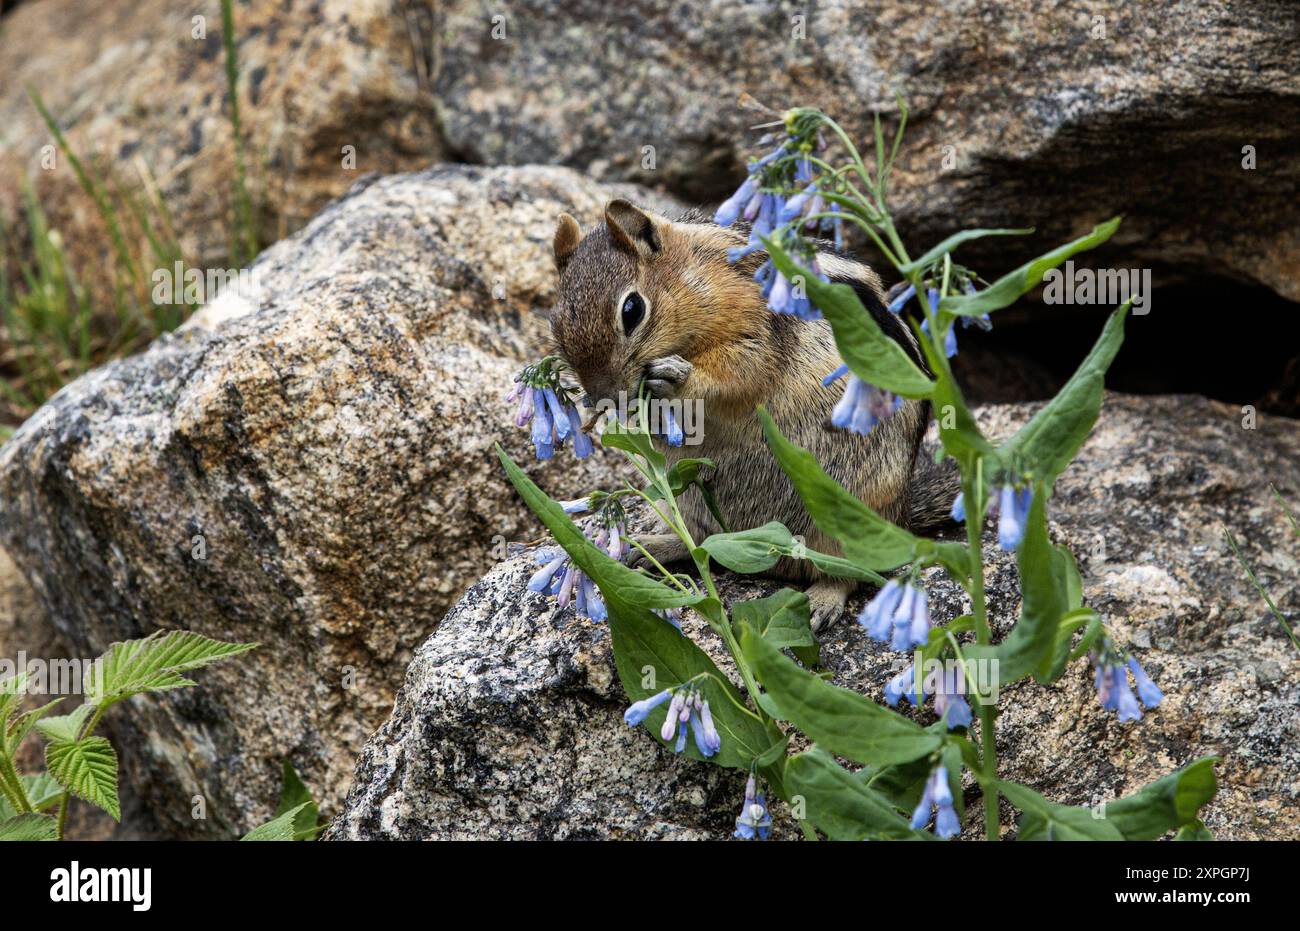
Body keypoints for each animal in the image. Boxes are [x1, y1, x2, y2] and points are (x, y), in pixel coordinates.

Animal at [548, 199, 958, 630]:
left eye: (632, 309)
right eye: (555, 322)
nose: (604, 398)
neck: (699, 274)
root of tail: (902, 520)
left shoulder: (758, 329)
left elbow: (739, 373)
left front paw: (678, 377)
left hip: (853, 513)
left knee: (847, 573)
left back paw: (822, 601)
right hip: (691, 501)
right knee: (702, 543)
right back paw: (648, 547)